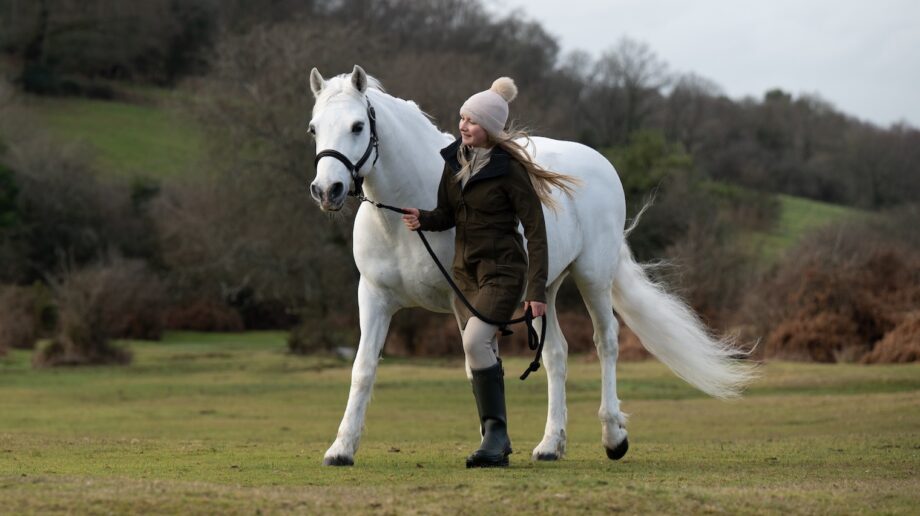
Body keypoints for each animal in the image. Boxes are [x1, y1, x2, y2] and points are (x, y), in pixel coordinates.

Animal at [307, 65, 755, 466]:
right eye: (314, 128)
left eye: (357, 126)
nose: (327, 190)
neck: (406, 210)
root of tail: (600, 163)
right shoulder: (374, 298)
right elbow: (363, 368)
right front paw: (341, 449)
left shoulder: (465, 300)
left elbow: (476, 366)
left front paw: (492, 446)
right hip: (542, 290)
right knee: (556, 354)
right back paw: (551, 445)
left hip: (592, 277)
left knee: (606, 343)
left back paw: (614, 437)